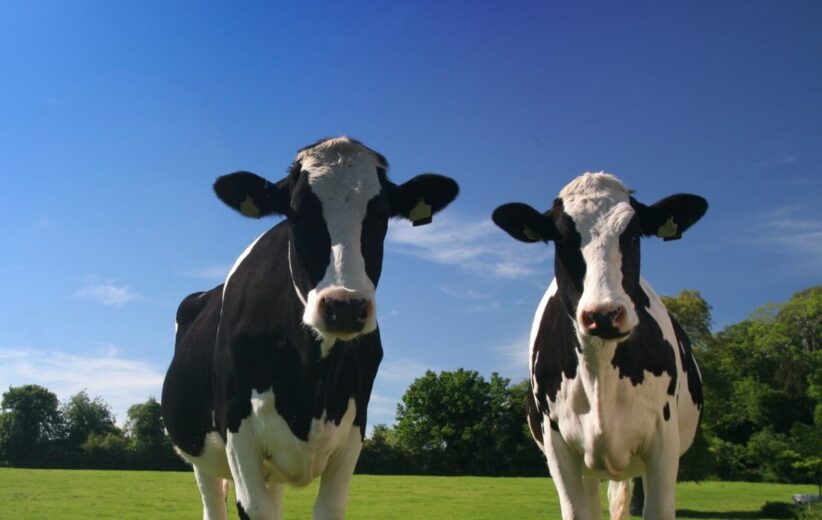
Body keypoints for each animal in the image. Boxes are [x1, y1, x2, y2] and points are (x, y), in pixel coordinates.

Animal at [161, 136, 459, 520]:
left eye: (380, 217)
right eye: (298, 213)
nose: (344, 307)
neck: (311, 384)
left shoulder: (354, 430)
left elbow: (329, 507)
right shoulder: (236, 428)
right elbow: (256, 508)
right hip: (199, 451)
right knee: (213, 503)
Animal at [492, 172, 706, 520]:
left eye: (634, 235)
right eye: (561, 238)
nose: (603, 314)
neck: (600, 374)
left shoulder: (664, 438)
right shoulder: (557, 444)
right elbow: (577, 512)